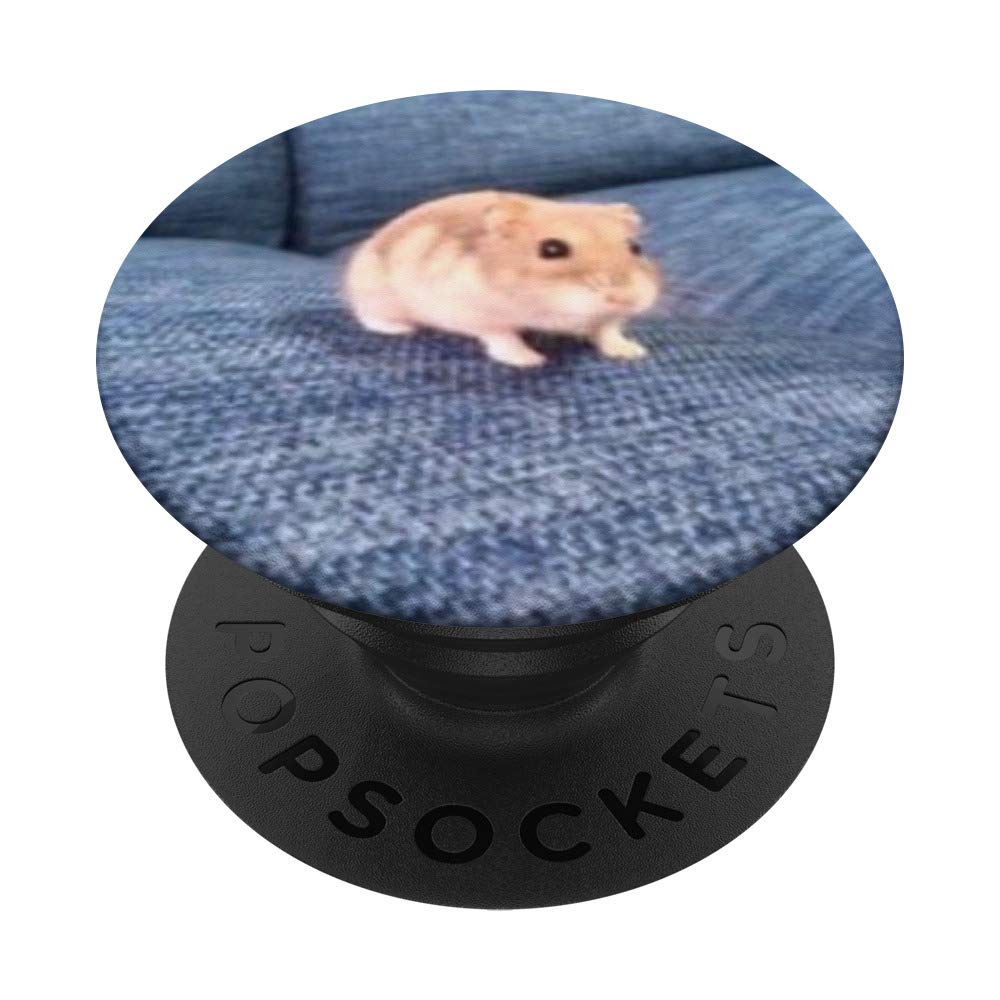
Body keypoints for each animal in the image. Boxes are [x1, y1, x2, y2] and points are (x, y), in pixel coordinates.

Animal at [344, 190, 661, 367]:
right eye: (552, 249)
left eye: (636, 248)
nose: (624, 297)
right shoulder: (479, 316)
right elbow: (503, 338)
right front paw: (531, 361)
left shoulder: (604, 319)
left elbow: (608, 331)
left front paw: (633, 352)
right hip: (374, 297)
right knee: (369, 317)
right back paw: (399, 330)